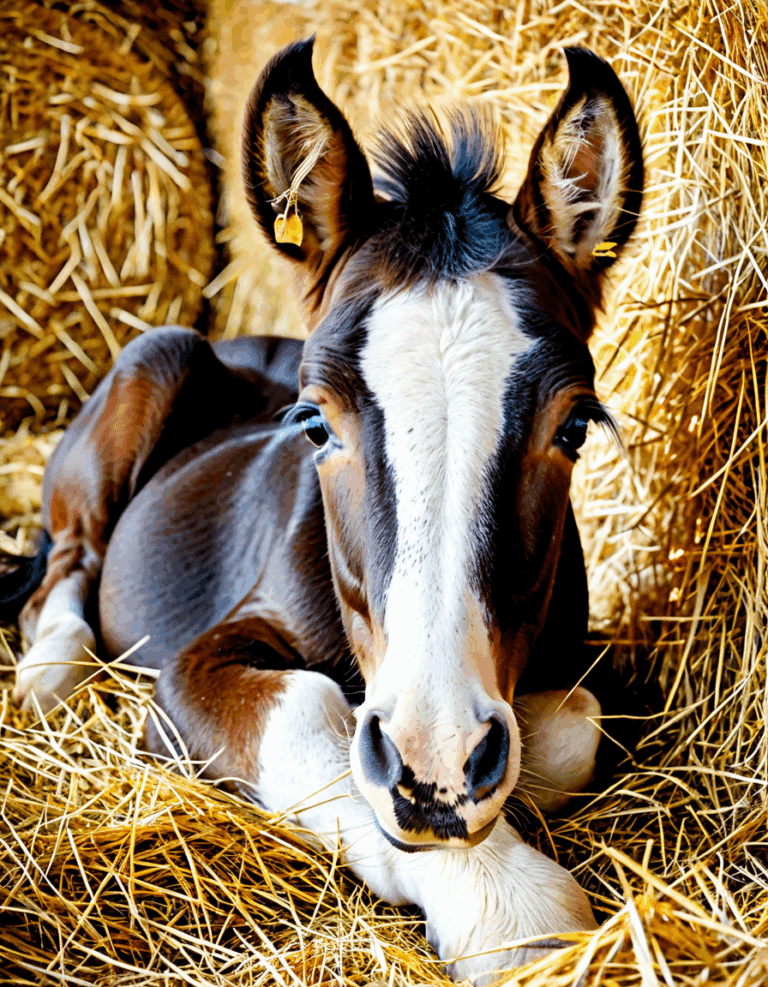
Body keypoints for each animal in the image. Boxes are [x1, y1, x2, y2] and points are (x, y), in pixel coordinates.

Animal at [4, 39, 643, 984]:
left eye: (573, 426)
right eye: (314, 422)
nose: (434, 769)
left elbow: (573, 724)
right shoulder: (193, 675)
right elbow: (313, 714)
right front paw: (505, 903)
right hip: (152, 357)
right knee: (68, 559)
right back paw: (53, 671)